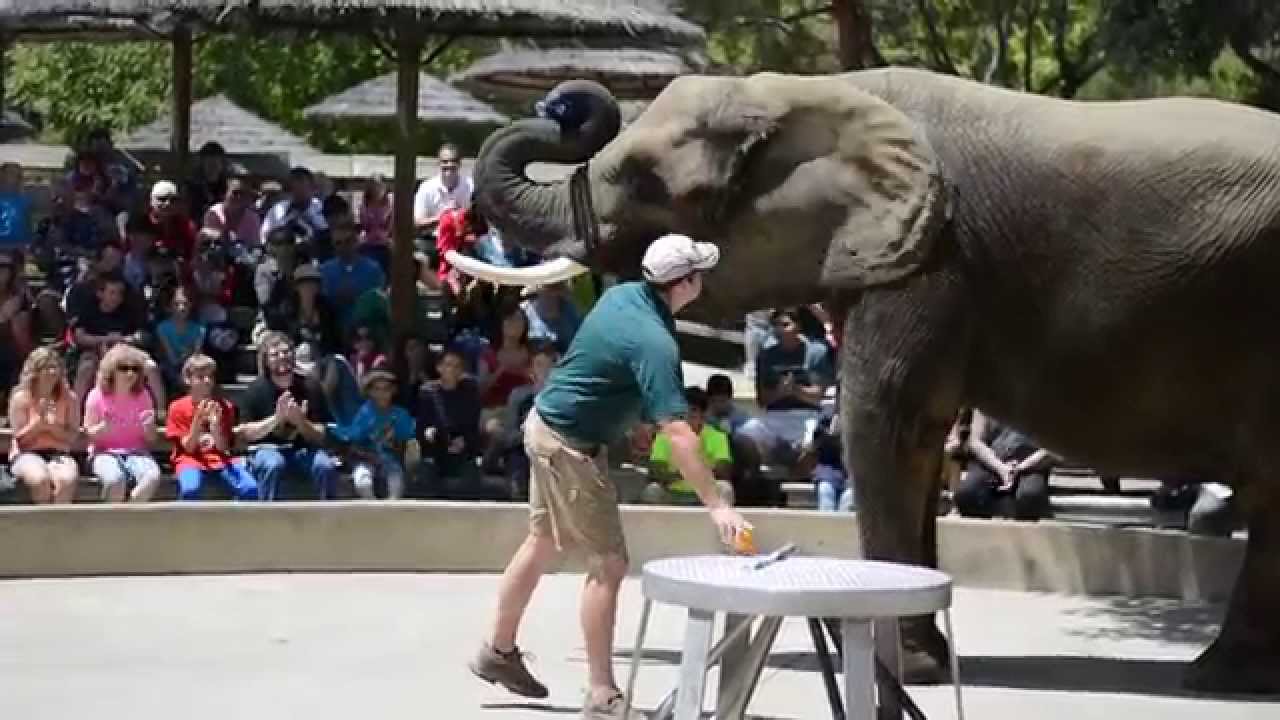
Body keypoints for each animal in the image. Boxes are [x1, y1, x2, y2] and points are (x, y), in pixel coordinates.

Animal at [460, 67, 1280, 695]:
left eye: (643, 180)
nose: (563, 104)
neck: (814, 89)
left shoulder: (931, 259)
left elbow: (892, 426)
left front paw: (908, 669)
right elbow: (913, 443)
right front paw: (923, 658)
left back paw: (1217, 678)